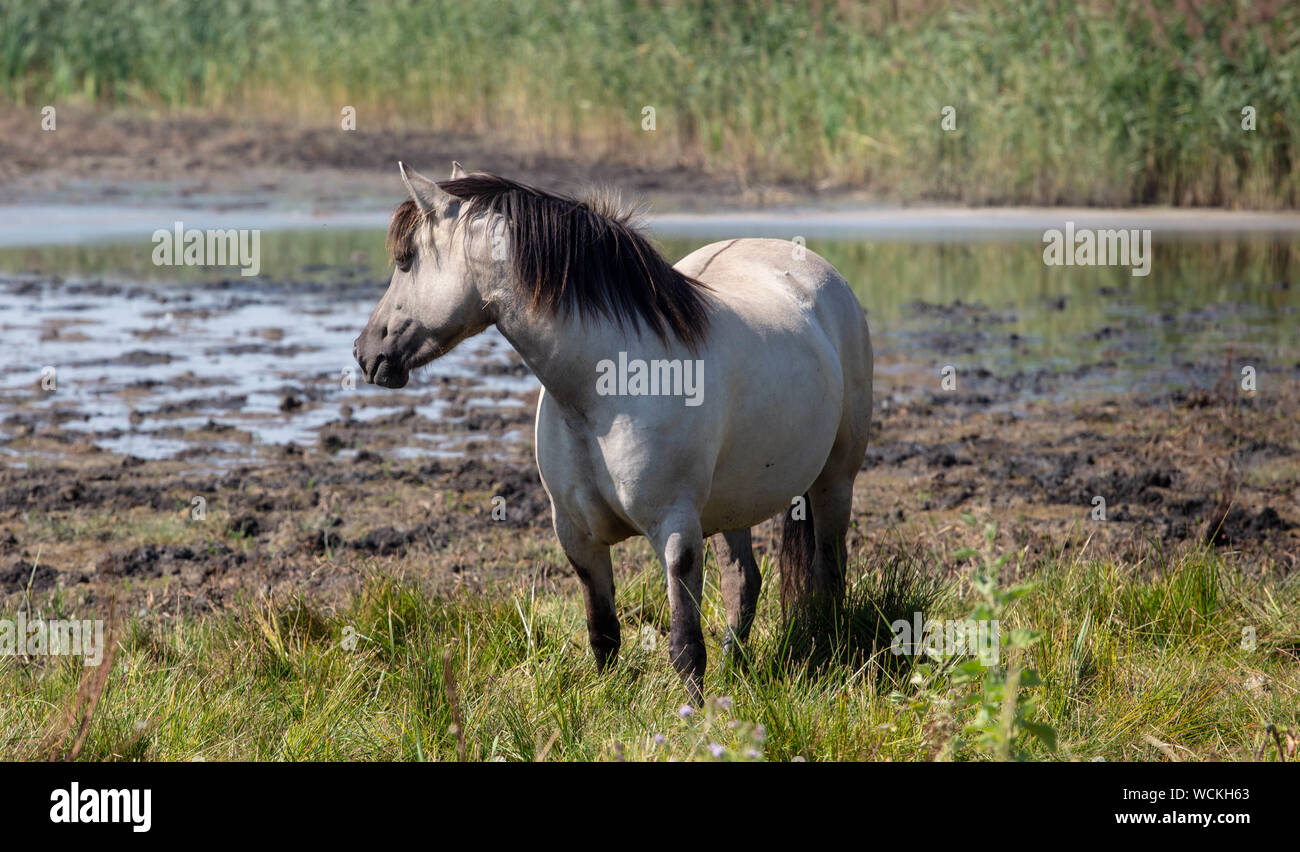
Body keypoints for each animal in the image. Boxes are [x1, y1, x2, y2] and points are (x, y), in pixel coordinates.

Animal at [354, 162, 873, 701]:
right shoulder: (576, 534)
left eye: (406, 260)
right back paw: (735, 671)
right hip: (735, 503)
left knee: (829, 570)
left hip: (834, 482)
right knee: (743, 584)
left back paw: (827, 650)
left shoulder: (676, 530)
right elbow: (603, 633)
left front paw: (694, 714)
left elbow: (685, 646)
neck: (601, 389)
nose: (365, 352)